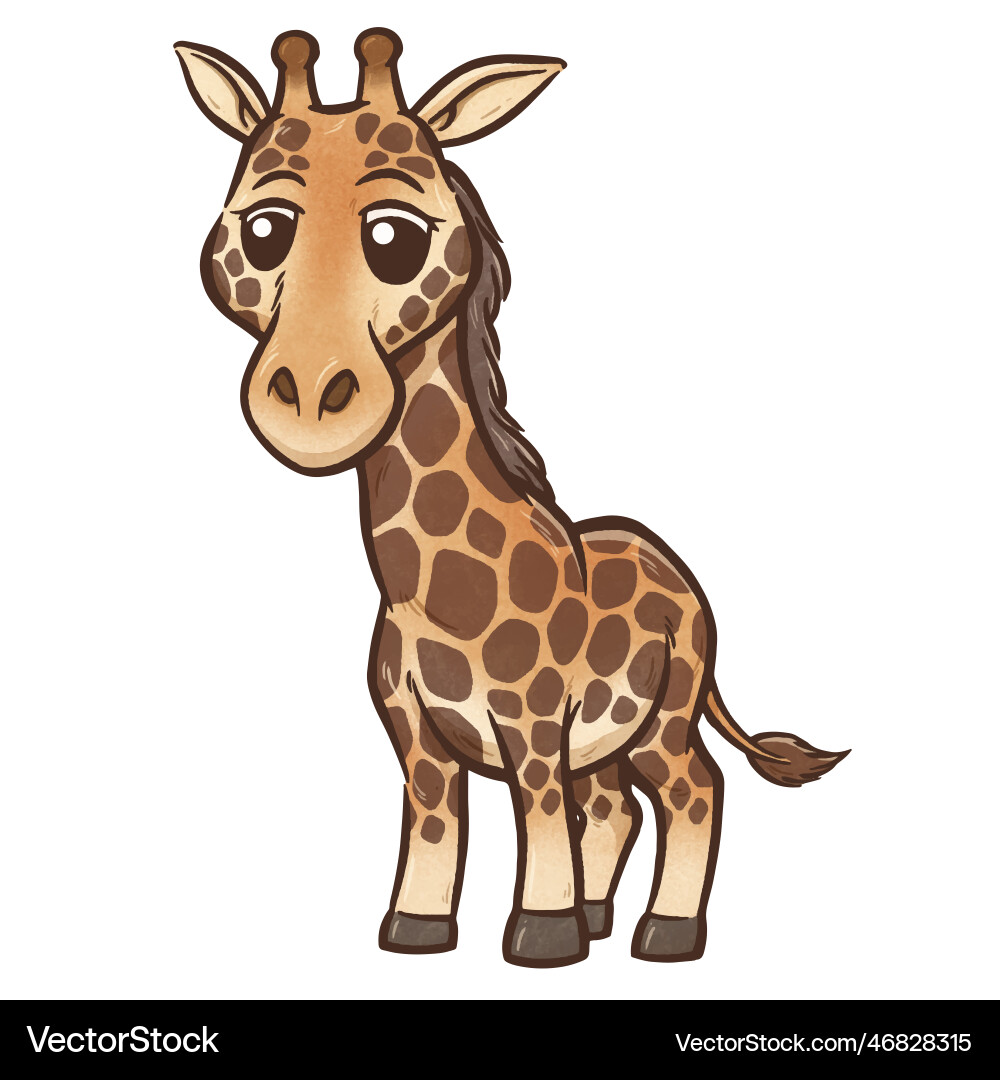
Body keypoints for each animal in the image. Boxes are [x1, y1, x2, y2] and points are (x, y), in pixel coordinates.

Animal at [175, 28, 849, 967]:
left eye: (395, 235)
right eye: (263, 228)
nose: (306, 402)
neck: (430, 597)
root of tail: (680, 573)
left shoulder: (533, 726)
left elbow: (539, 818)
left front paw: (545, 936)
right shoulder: (416, 737)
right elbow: (434, 829)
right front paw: (419, 931)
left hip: (665, 714)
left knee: (694, 788)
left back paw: (665, 934)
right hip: (611, 736)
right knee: (615, 804)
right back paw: (607, 916)